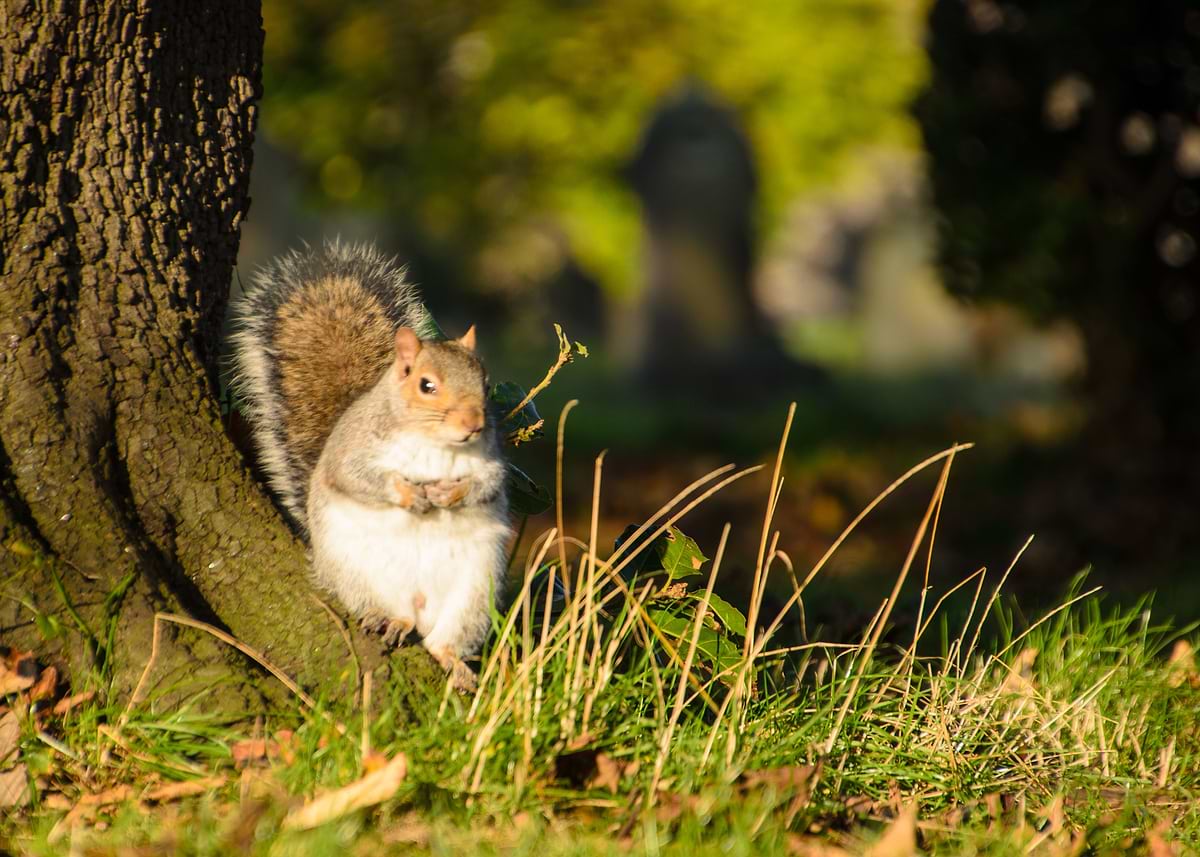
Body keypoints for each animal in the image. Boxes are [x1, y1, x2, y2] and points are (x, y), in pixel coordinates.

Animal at [229, 240, 511, 690]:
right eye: (426, 385)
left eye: (485, 383)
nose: (473, 424)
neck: (433, 442)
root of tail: (418, 605)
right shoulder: (352, 451)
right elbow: (357, 478)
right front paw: (411, 494)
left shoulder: (491, 462)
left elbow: (487, 485)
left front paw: (449, 492)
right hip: (355, 573)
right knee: (386, 610)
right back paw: (390, 619)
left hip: (474, 592)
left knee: (441, 641)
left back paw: (454, 664)